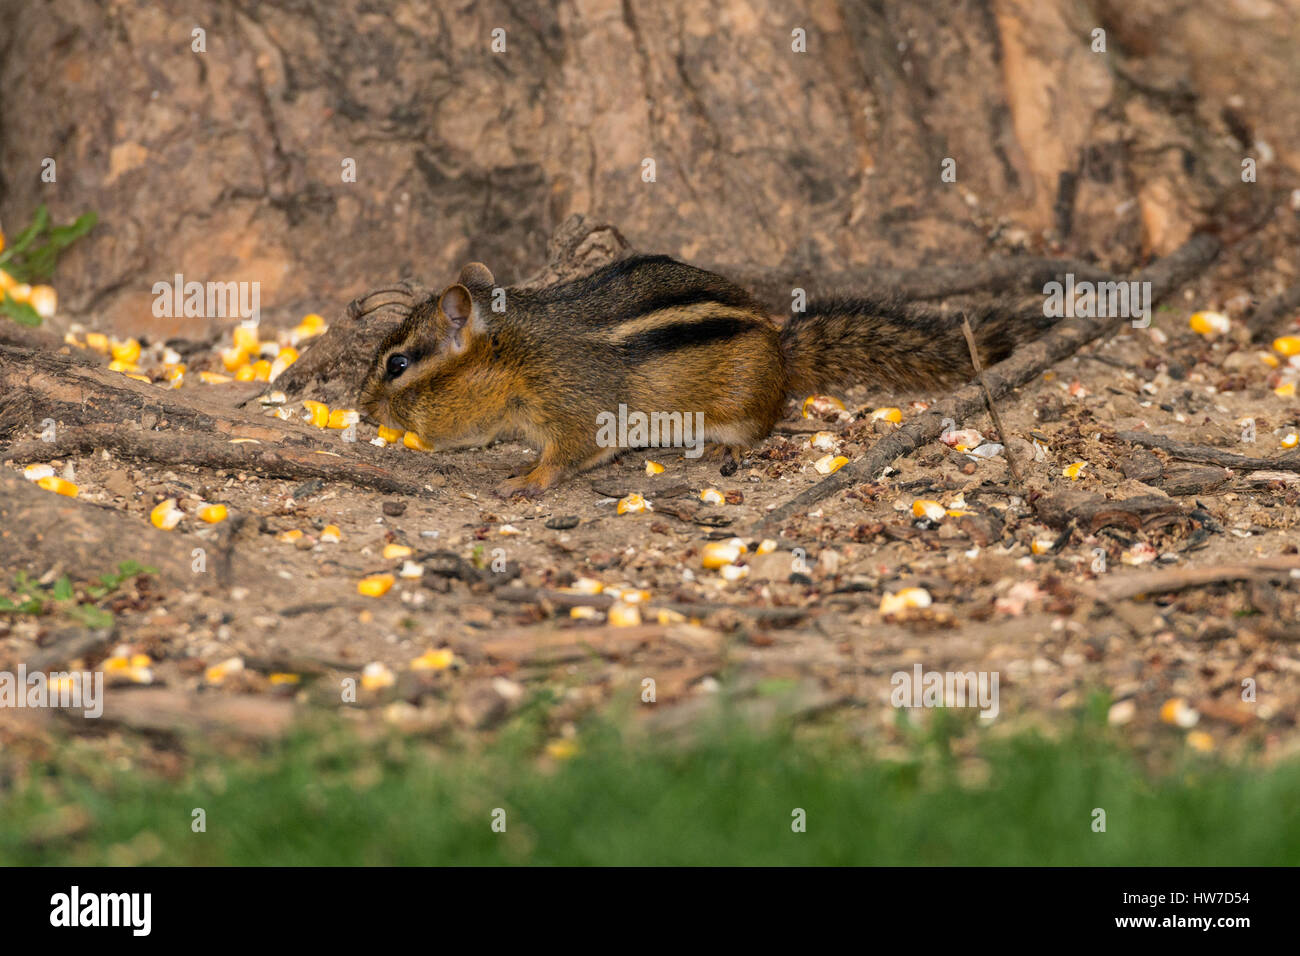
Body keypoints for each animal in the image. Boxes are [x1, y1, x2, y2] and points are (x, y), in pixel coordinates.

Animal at [359, 254, 1046, 497]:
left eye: (397, 364)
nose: (364, 410)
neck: (515, 354)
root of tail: (781, 350)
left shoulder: (576, 411)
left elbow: (567, 458)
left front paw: (525, 480)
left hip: (740, 406)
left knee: (759, 429)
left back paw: (722, 451)